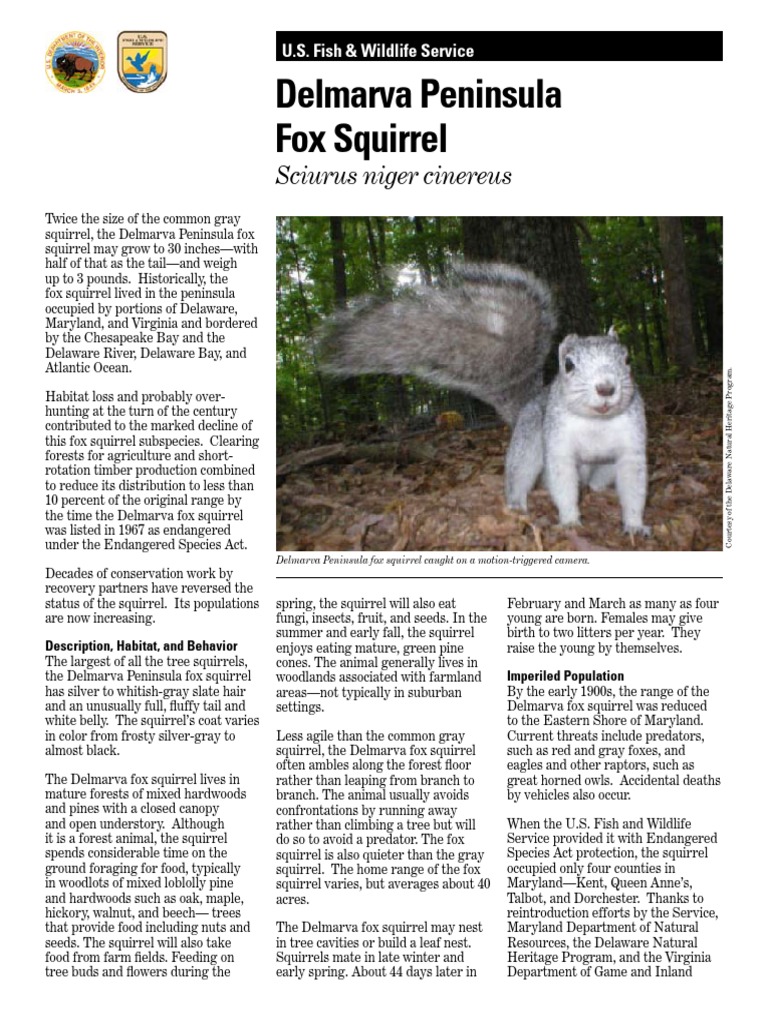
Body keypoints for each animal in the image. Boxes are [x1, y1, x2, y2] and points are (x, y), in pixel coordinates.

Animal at [319, 264, 648, 534]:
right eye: (568, 365)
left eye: (627, 359)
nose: (606, 388)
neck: (597, 421)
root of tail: (528, 405)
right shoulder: (559, 445)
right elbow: (563, 482)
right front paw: (570, 521)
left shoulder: (632, 445)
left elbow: (634, 485)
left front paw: (635, 524)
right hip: (529, 443)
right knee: (522, 474)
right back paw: (517, 505)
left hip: (604, 466)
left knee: (597, 481)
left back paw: (600, 491)